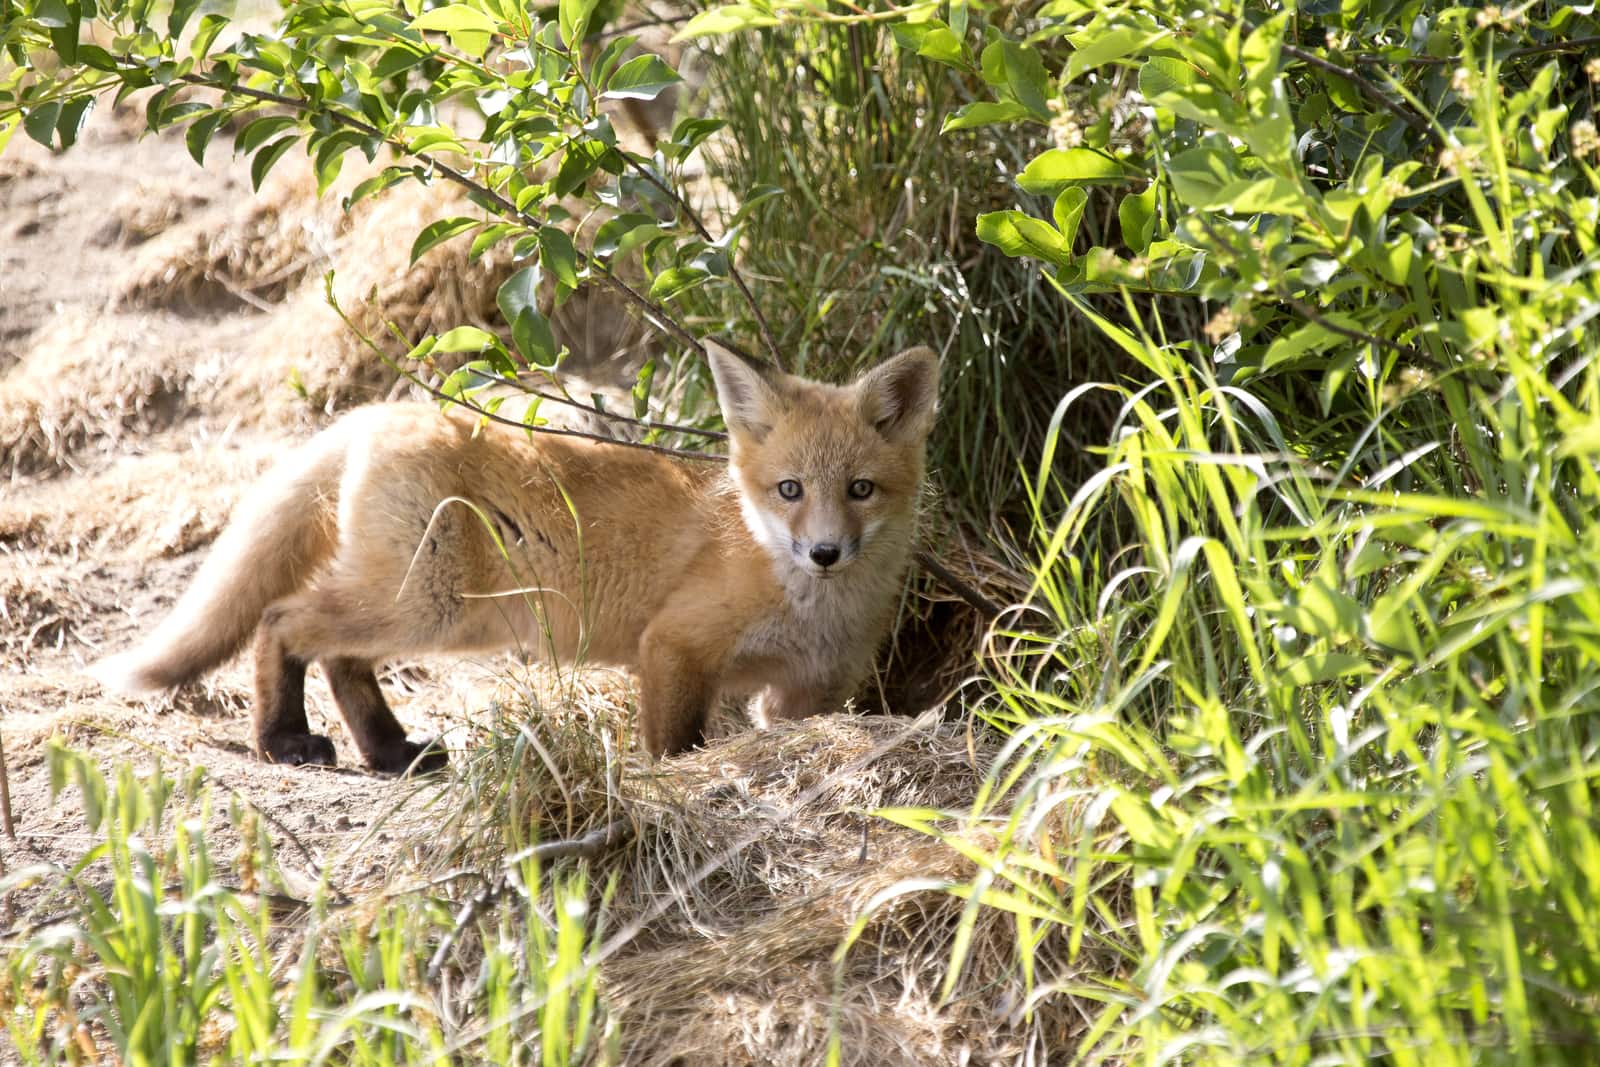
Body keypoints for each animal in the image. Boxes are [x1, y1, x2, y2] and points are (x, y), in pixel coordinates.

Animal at [90, 341, 940, 774]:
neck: (811, 606)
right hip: (425, 606)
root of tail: (379, 412)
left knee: (337, 654)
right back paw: (281, 741)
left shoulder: (808, 691)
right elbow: (674, 745)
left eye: (861, 489)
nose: (824, 551)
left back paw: (390, 750)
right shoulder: (675, 645)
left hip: (422, 611)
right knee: (280, 619)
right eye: (789, 489)